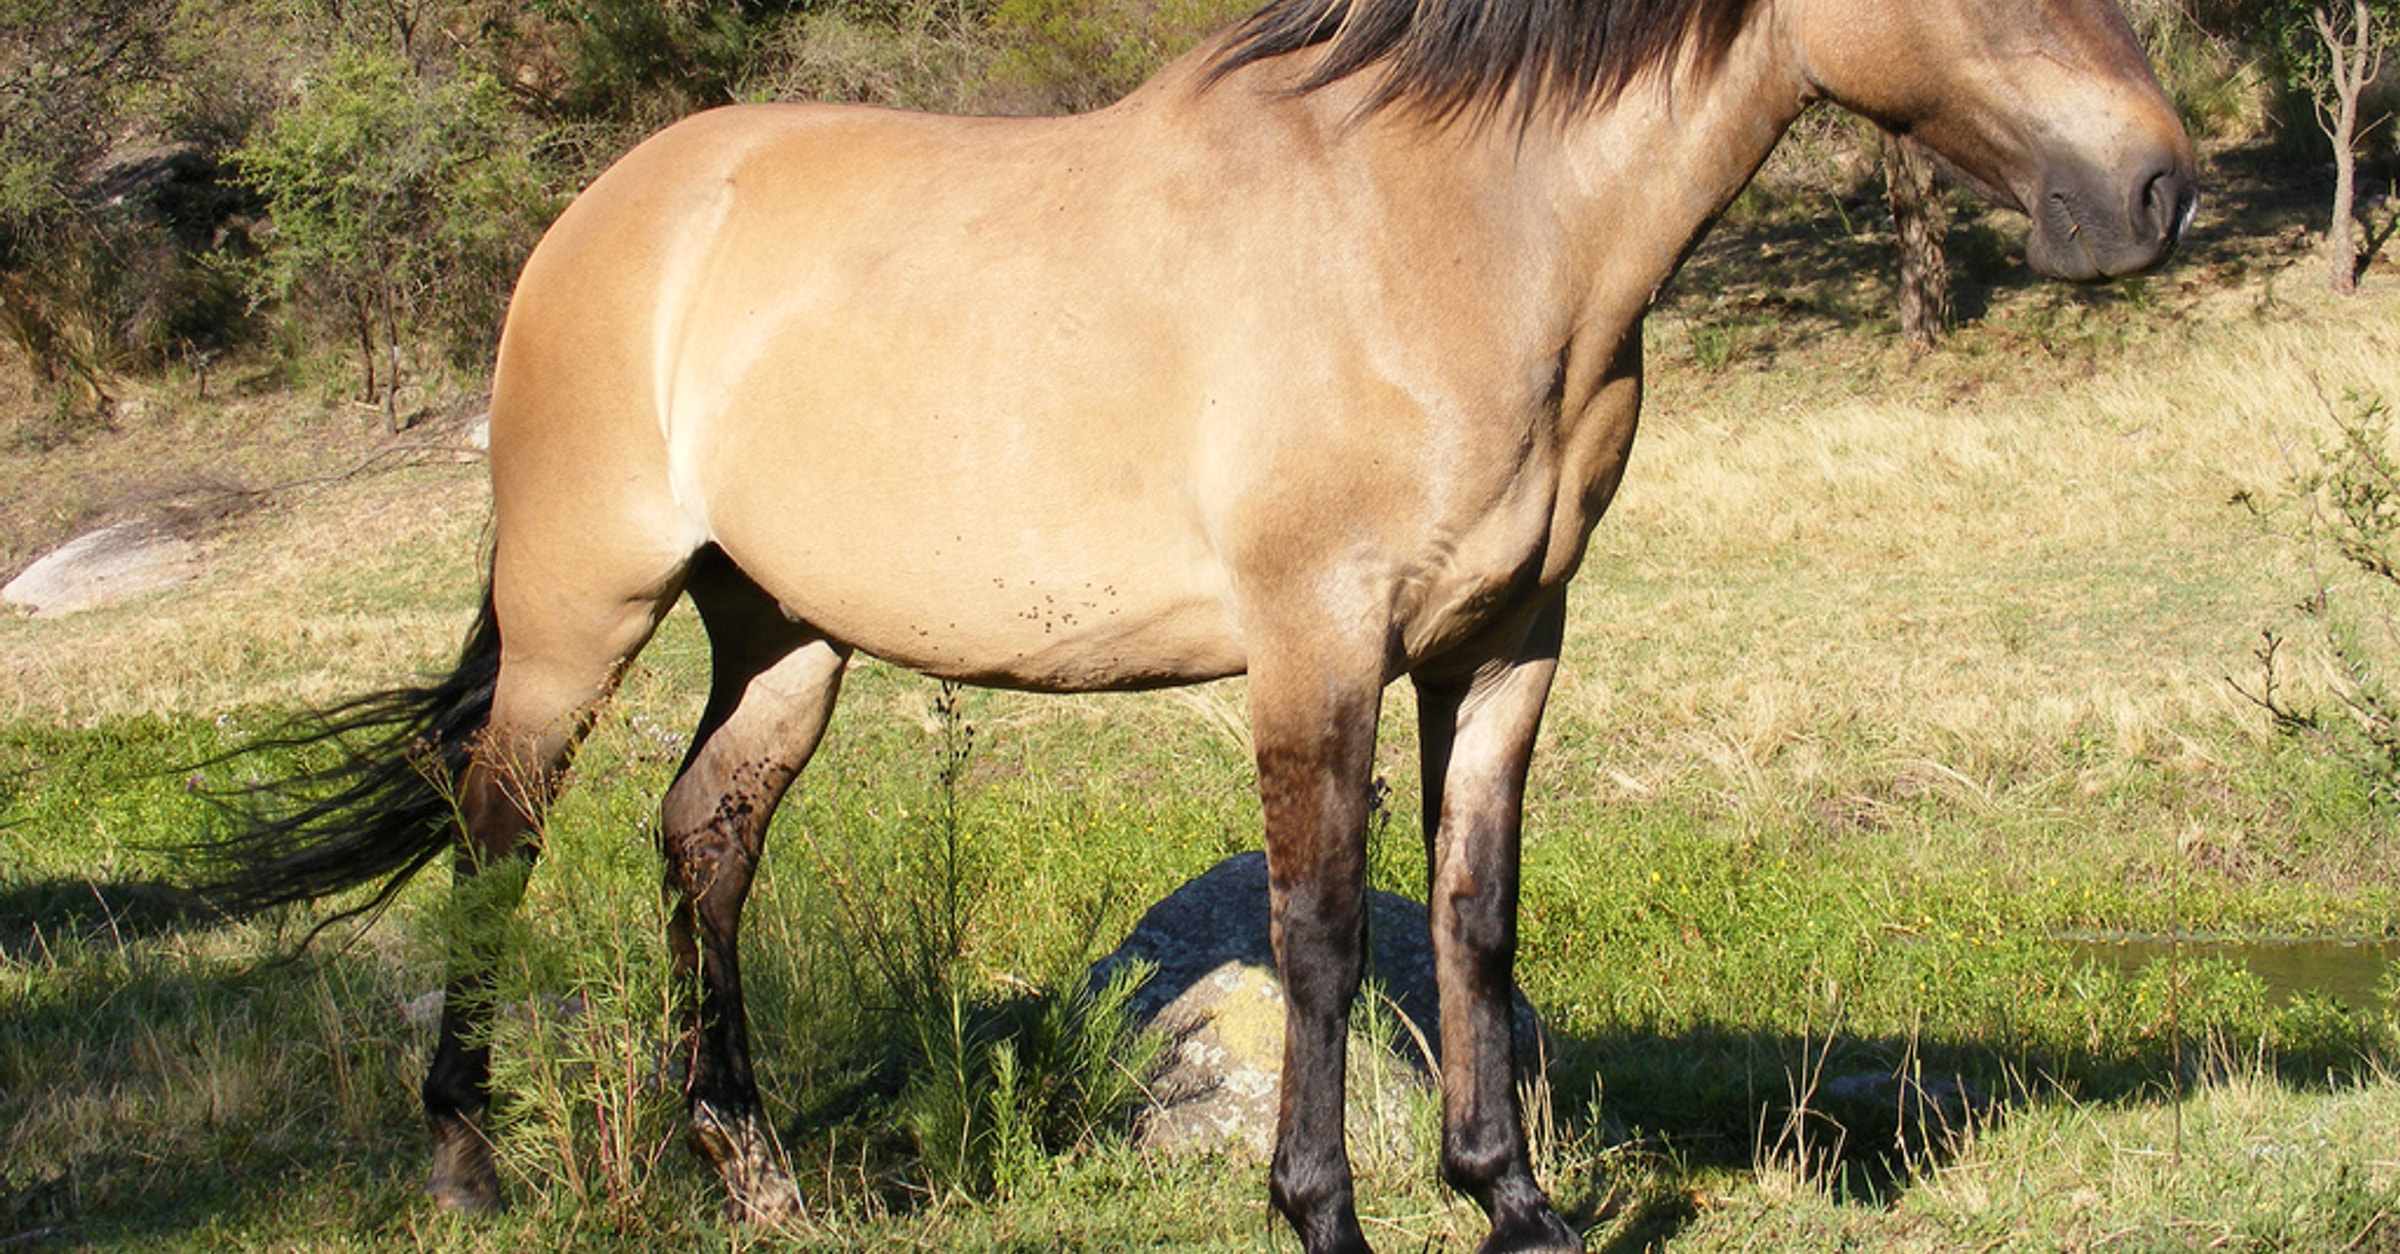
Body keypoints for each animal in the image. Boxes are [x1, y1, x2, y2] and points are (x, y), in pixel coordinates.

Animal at [196, 0, 2194, 1248]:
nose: (2159, 187)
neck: (1459, 227)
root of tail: (604, 216)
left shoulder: (1511, 641)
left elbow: (1472, 919)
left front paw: (1514, 1198)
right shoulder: (1319, 639)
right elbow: (1319, 930)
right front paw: (1326, 1209)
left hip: (784, 633)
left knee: (705, 840)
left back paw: (755, 1173)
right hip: (578, 612)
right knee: (497, 834)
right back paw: (466, 1161)